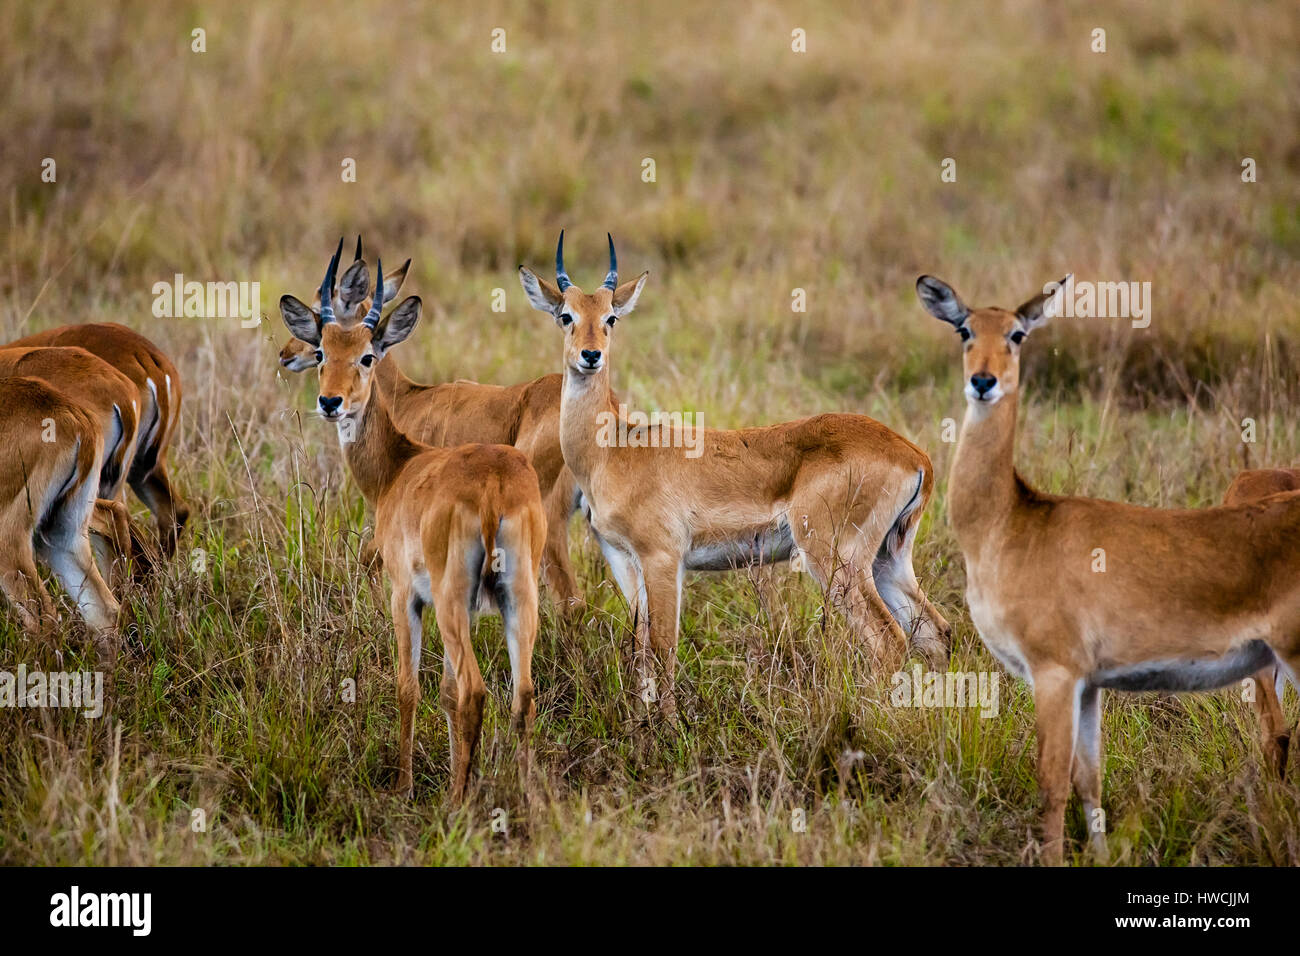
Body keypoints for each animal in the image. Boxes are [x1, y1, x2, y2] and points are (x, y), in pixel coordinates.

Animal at [280, 241, 546, 800]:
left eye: (366, 354)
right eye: (323, 352)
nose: (331, 401)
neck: (400, 467)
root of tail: (494, 484)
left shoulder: (404, 593)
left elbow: (409, 686)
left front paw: (403, 785)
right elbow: (442, 692)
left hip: (449, 601)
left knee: (475, 691)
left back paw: (454, 802)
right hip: (519, 597)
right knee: (522, 695)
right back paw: (525, 794)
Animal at [520, 233, 951, 717]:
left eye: (610, 316)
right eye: (566, 315)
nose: (590, 355)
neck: (615, 450)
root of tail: (914, 454)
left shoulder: (663, 558)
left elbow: (664, 645)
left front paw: (669, 726)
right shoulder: (623, 559)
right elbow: (641, 646)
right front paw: (641, 721)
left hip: (835, 560)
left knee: (889, 641)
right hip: (888, 560)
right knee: (936, 633)